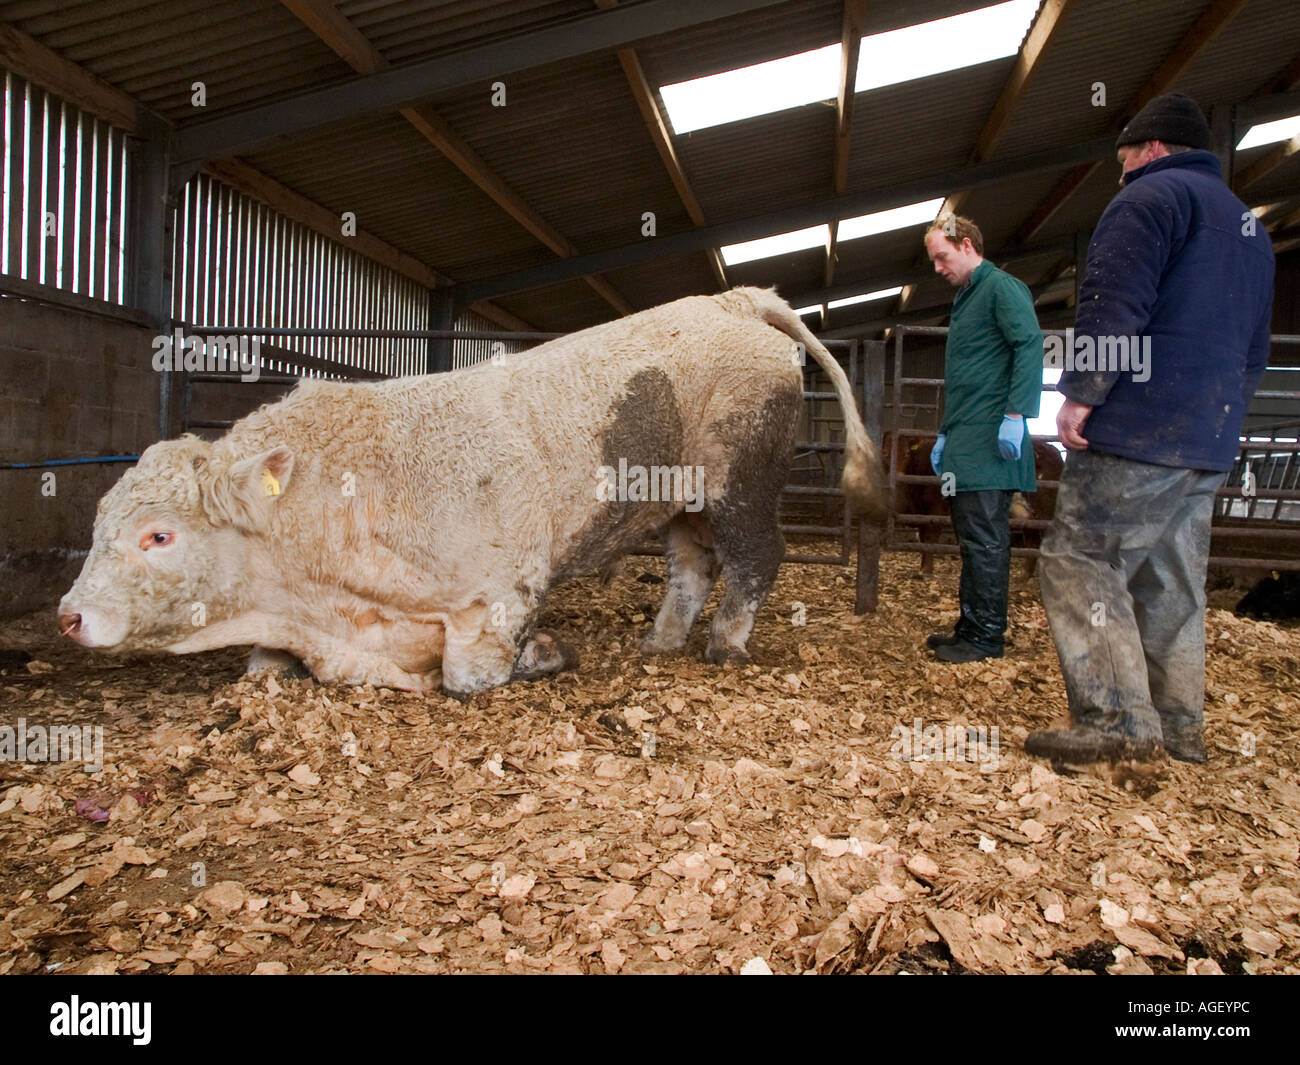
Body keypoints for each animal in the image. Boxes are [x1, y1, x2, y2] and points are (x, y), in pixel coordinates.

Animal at [58, 288, 883, 696]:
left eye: (158, 534)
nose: (68, 616)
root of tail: (736, 300)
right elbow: (263, 669)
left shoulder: (502, 590)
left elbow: (468, 677)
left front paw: (549, 652)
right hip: (682, 501)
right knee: (693, 567)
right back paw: (660, 640)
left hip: (741, 482)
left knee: (756, 558)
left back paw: (725, 644)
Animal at [882, 431, 1062, 576]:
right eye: (885, 454)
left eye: (906, 454)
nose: (897, 474)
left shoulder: (936, 509)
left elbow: (930, 538)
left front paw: (926, 570)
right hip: (1026, 513)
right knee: (1032, 539)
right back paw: (1024, 576)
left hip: (1045, 509)